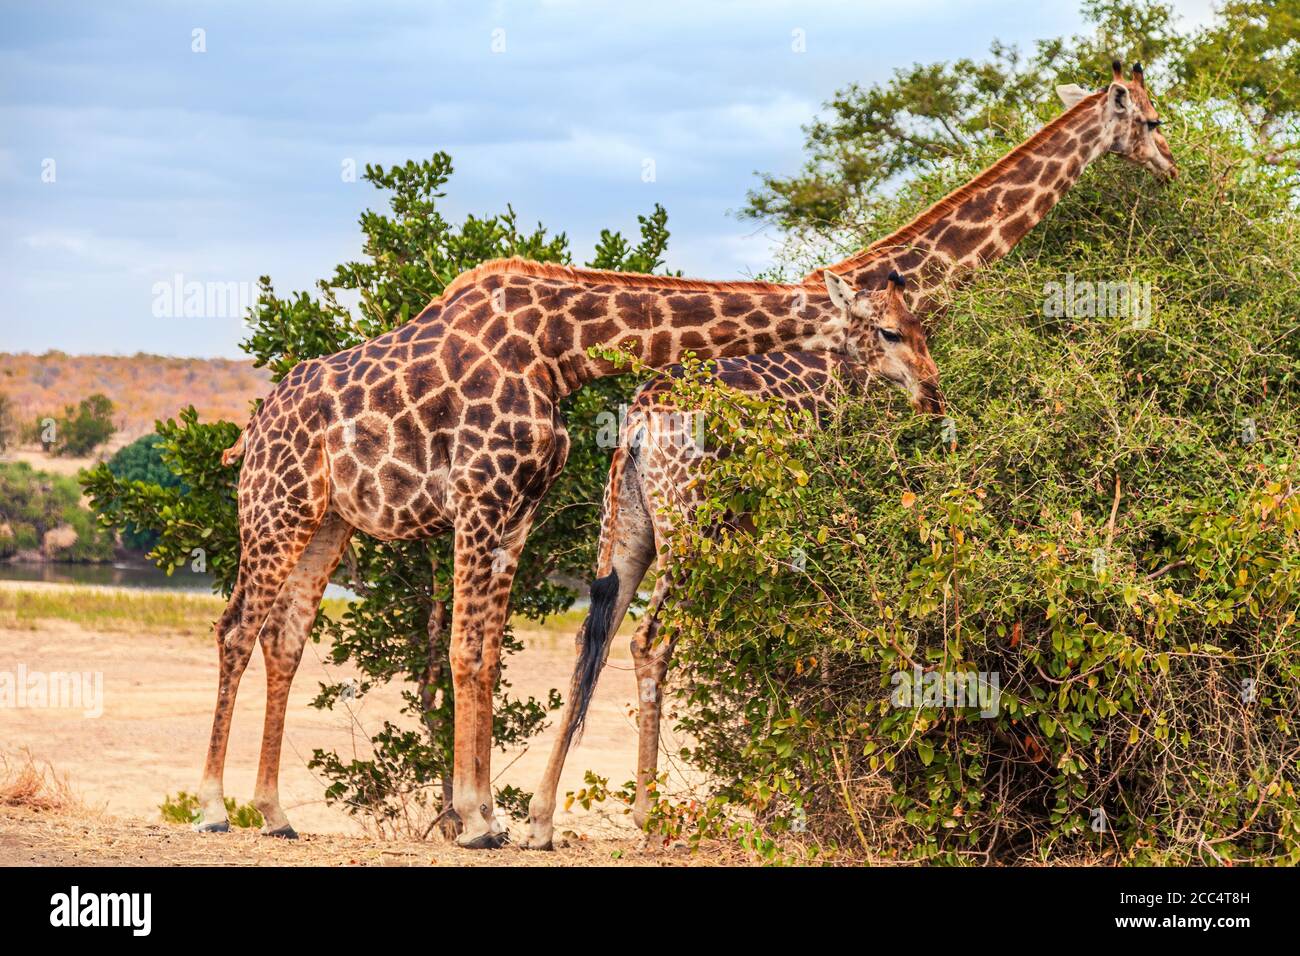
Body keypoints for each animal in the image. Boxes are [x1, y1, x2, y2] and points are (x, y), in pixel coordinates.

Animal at [198, 257, 910, 849]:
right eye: (893, 331)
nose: (926, 389)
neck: (555, 349)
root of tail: (252, 428)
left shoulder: (517, 512)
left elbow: (488, 655)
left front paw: (492, 817)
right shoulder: (478, 499)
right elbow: (463, 650)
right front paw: (475, 824)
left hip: (325, 523)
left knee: (283, 639)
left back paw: (274, 814)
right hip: (273, 508)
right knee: (235, 629)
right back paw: (213, 807)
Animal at [524, 62, 1178, 848]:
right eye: (1151, 120)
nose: (1173, 166)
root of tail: (641, 426)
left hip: (625, 527)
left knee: (592, 640)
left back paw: (537, 818)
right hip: (695, 527)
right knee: (652, 643)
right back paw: (651, 817)